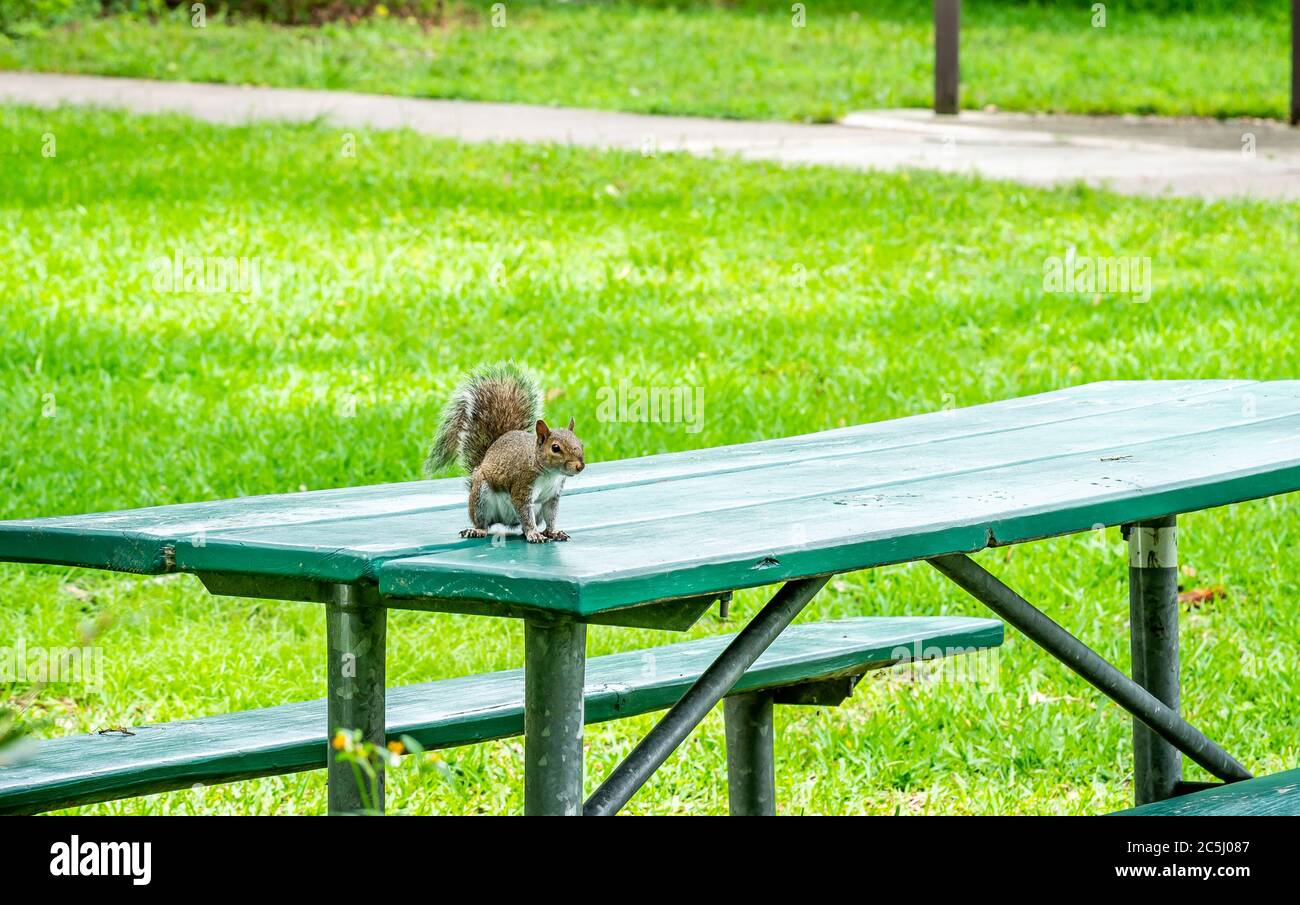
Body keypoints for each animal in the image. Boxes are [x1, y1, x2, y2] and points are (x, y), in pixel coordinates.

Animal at [426, 362, 586, 543]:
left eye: (581, 443)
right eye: (555, 448)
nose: (580, 466)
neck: (550, 474)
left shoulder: (552, 496)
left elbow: (551, 516)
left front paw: (553, 532)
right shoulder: (522, 487)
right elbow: (525, 514)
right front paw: (534, 534)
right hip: (480, 497)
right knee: (484, 523)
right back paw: (477, 530)